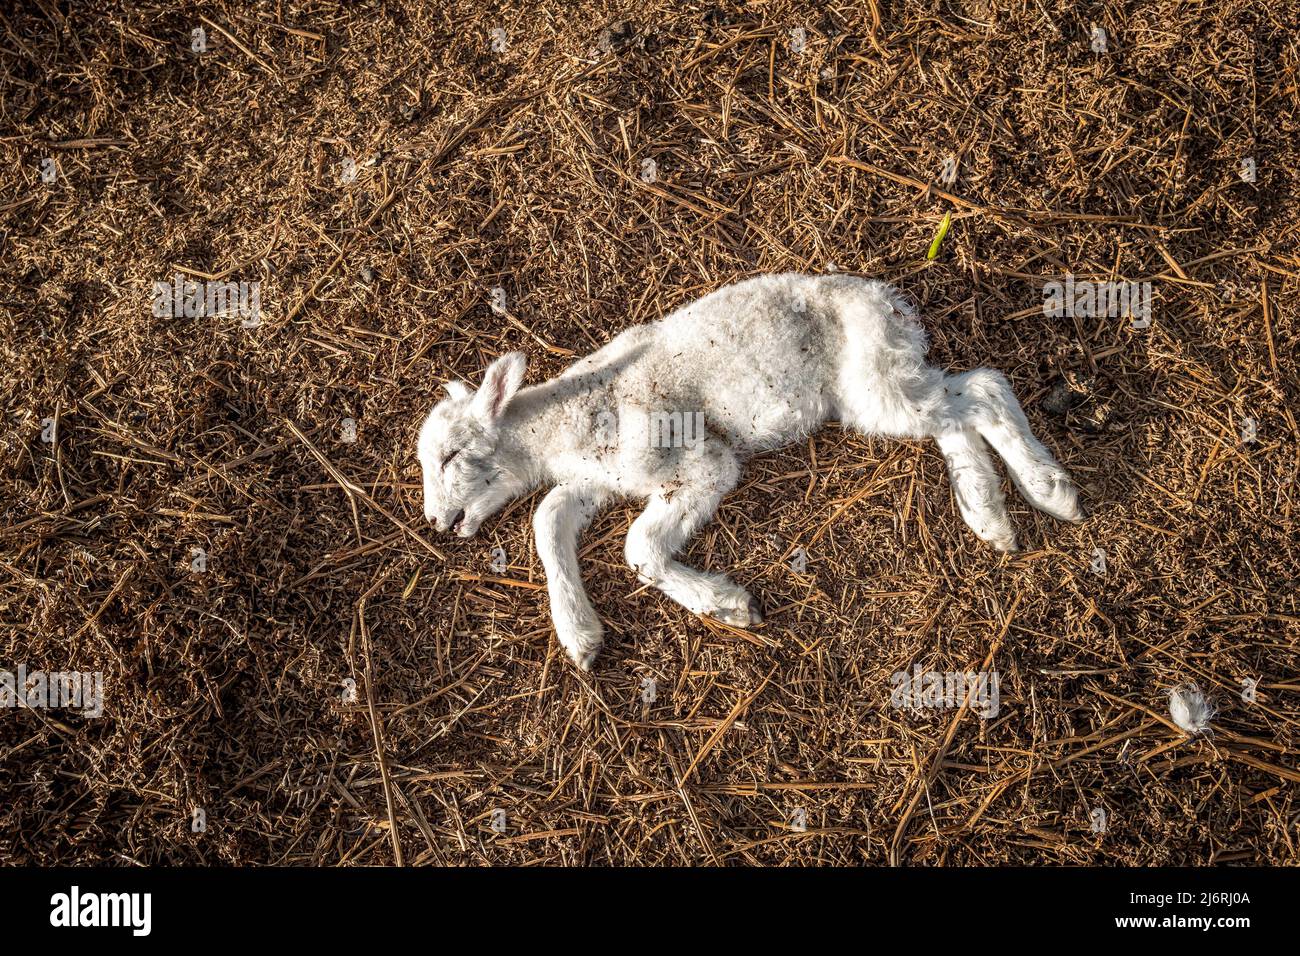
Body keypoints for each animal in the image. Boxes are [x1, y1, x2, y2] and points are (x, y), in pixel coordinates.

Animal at [418, 272, 1085, 669]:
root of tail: (887, 300)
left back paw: (1050, 494)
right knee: (958, 409)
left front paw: (729, 607)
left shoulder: (696, 461)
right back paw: (990, 517)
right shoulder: (598, 481)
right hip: (876, 393)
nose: (435, 520)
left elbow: (639, 547)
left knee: (985, 390)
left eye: (450, 456)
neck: (562, 426)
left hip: (874, 381)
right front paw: (581, 639)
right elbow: (548, 515)